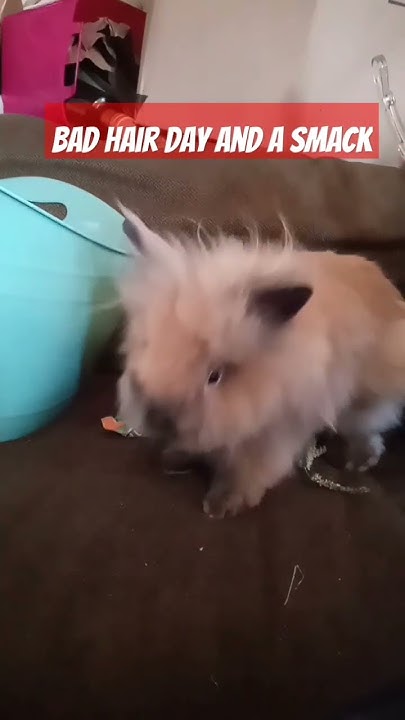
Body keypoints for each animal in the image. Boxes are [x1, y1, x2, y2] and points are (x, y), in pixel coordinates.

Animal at [117, 206, 405, 518]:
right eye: (148, 344)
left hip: (366, 400)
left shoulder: (274, 437)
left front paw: (220, 505)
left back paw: (361, 459)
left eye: (215, 376)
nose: (157, 418)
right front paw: (173, 459)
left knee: (369, 426)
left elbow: (248, 472)